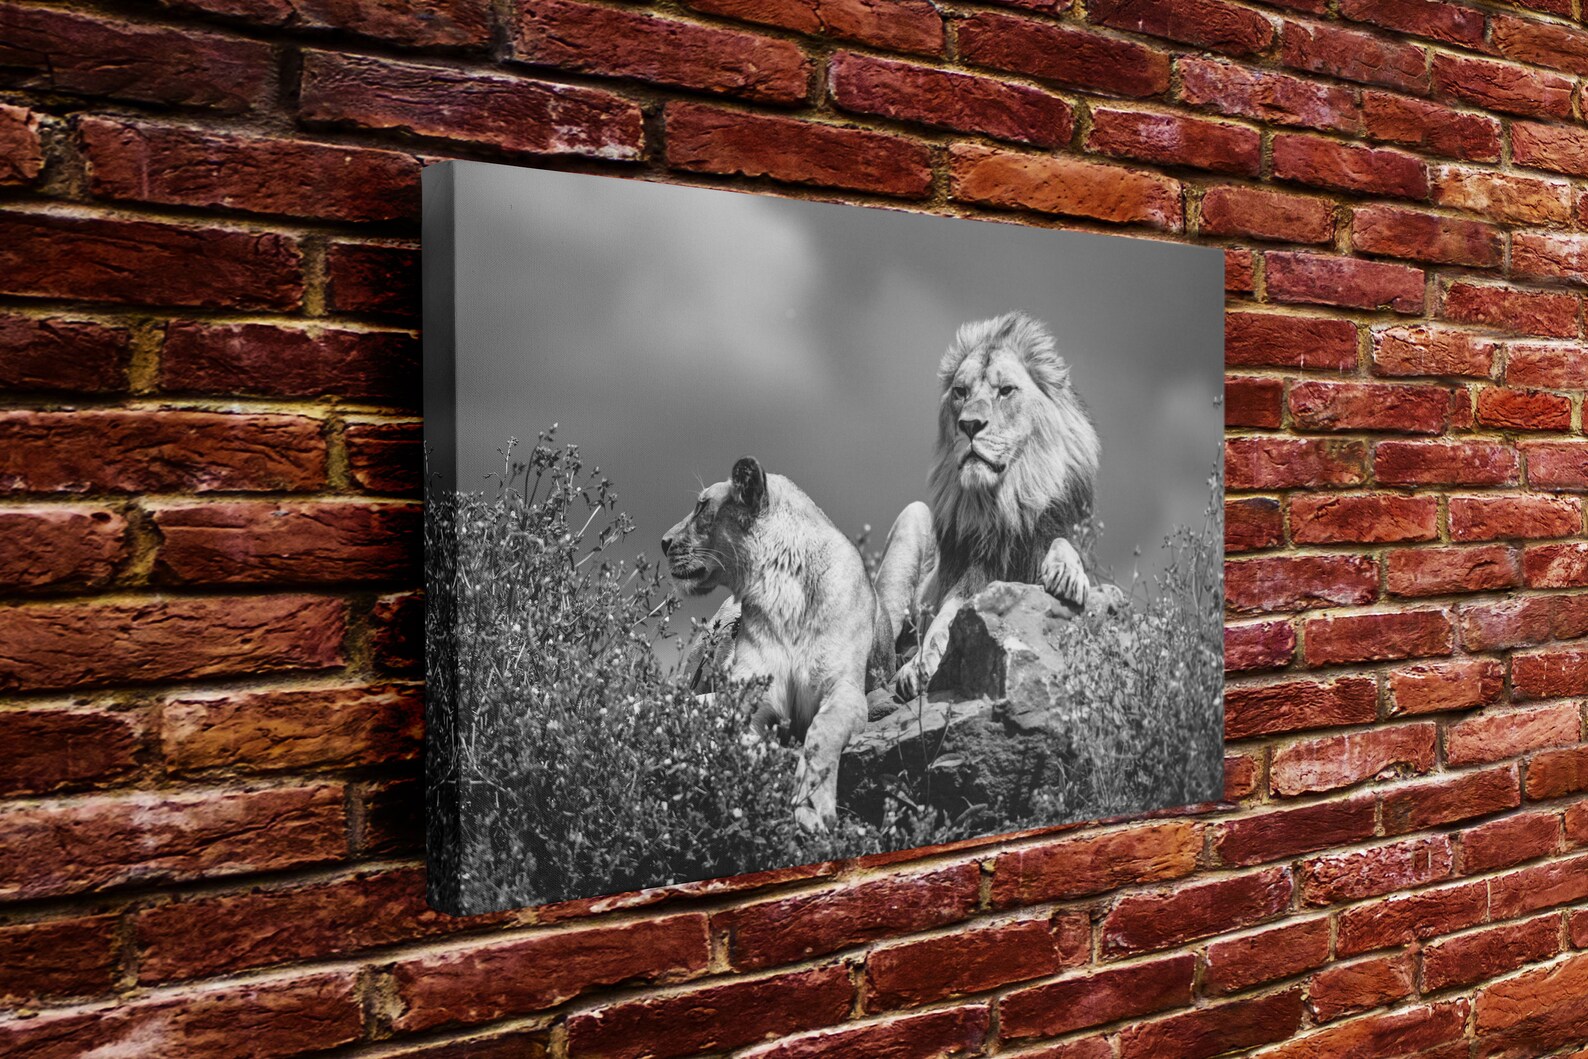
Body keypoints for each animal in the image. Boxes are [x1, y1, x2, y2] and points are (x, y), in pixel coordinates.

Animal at [663, 456, 893, 830]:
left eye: (701, 506)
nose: (663, 542)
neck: (780, 586)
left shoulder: (845, 689)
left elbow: (823, 732)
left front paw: (811, 804)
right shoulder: (749, 698)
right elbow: (739, 737)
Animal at [875, 311, 1102, 699]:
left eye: (1005, 390)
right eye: (961, 392)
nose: (969, 425)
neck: (1007, 502)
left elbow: (1064, 544)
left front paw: (1067, 574)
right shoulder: (972, 572)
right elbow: (945, 616)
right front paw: (918, 664)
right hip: (912, 518)